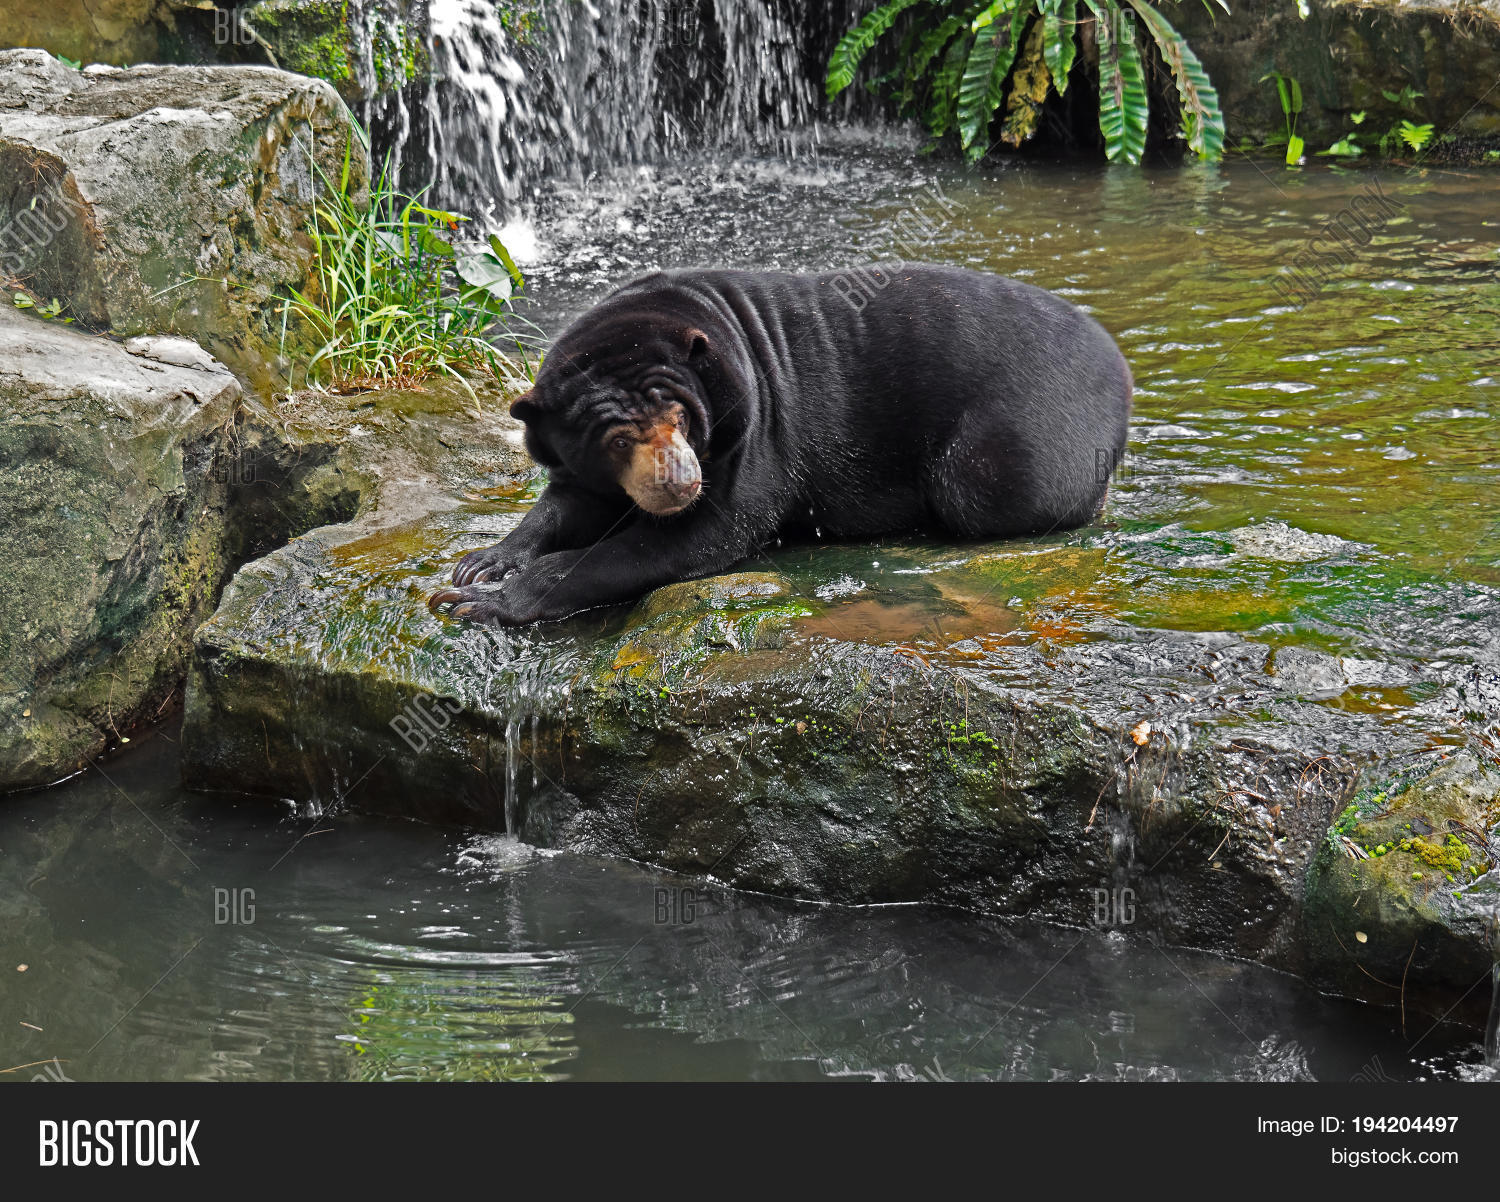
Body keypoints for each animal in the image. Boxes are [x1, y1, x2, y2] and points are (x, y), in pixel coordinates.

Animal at [429, 264, 1132, 624]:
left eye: (681, 417)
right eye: (620, 437)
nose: (680, 482)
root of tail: (1120, 374)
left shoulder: (753, 434)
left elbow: (700, 533)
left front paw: (482, 601)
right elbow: (567, 502)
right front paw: (483, 562)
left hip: (1024, 436)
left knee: (982, 489)